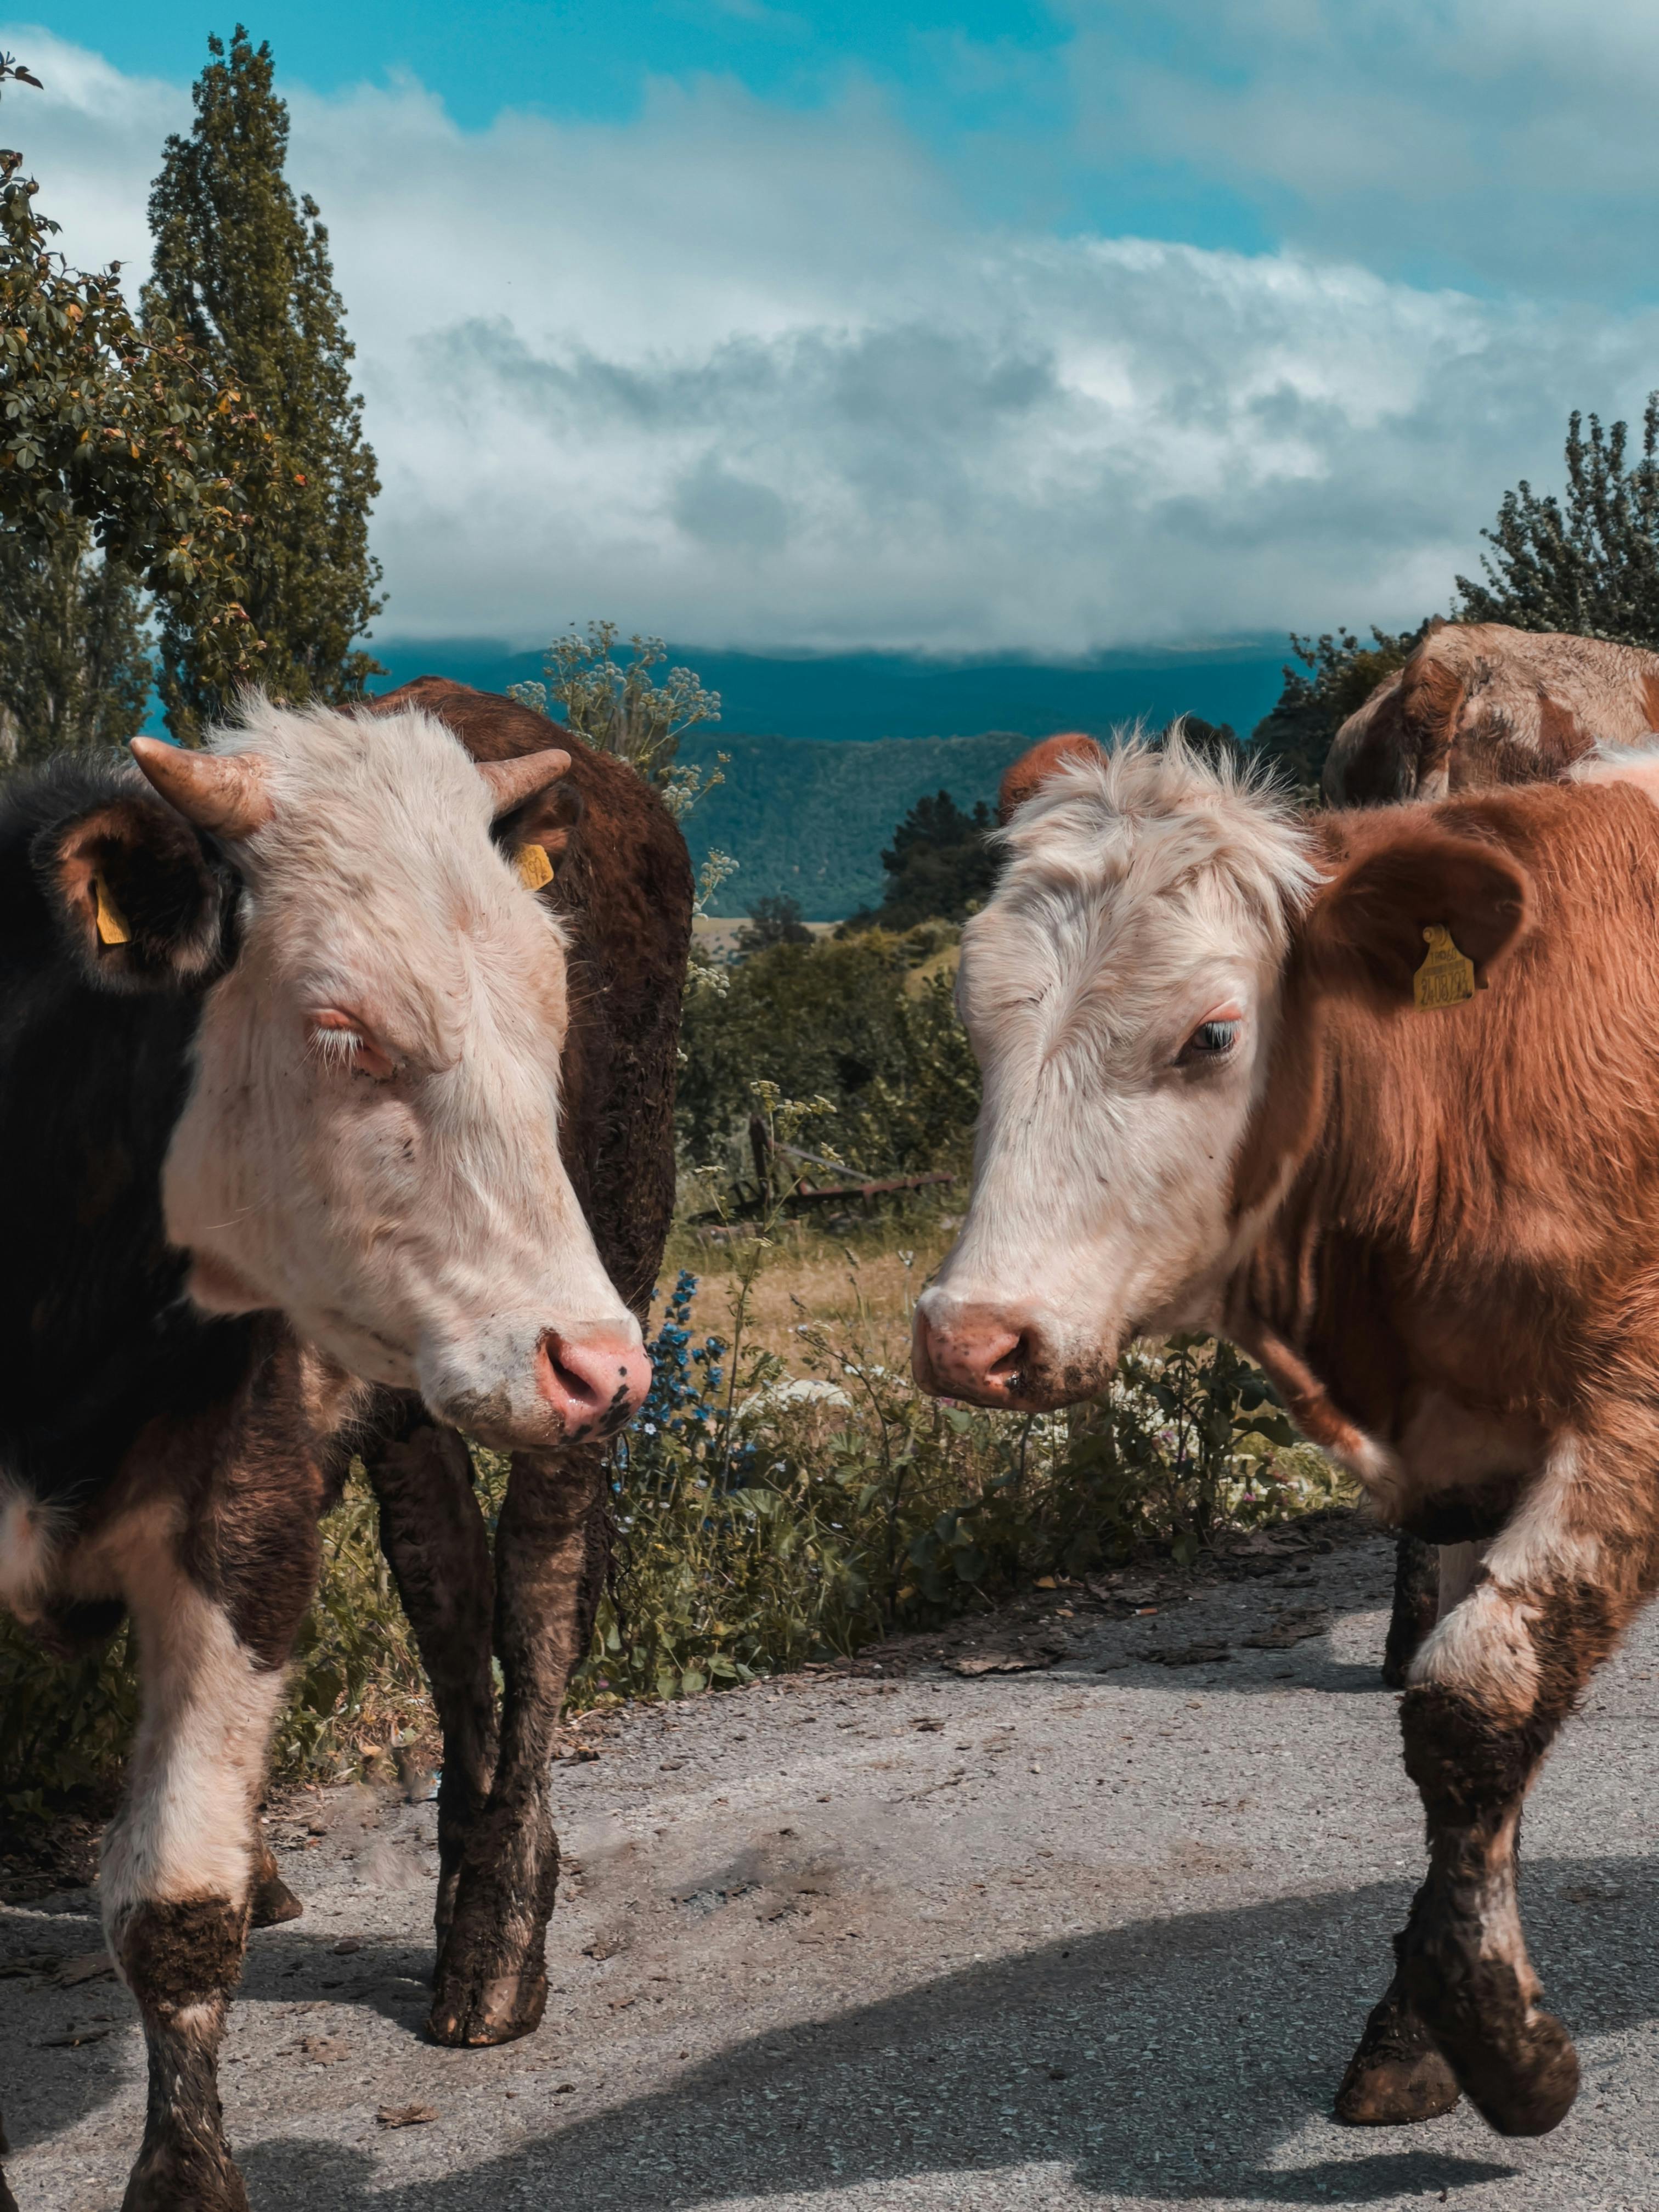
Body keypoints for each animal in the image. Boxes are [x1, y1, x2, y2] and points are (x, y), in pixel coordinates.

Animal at [0, 679, 691, 2212]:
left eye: (549, 1007)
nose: (599, 1361)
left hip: (601, 1258)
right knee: (445, 1581)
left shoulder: (241, 1517)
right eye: (344, 1027)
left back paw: (496, 1940)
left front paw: (189, 2182)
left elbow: (176, 1906)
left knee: (539, 1589)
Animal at [912, 728, 1659, 2140]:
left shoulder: (1632, 1409)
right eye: (974, 1025)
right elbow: (1468, 1725)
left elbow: (1473, 1693)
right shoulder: (1472, 1450)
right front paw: (1418, 2031)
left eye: (1211, 1035)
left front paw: (1510, 2052)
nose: (971, 1338)